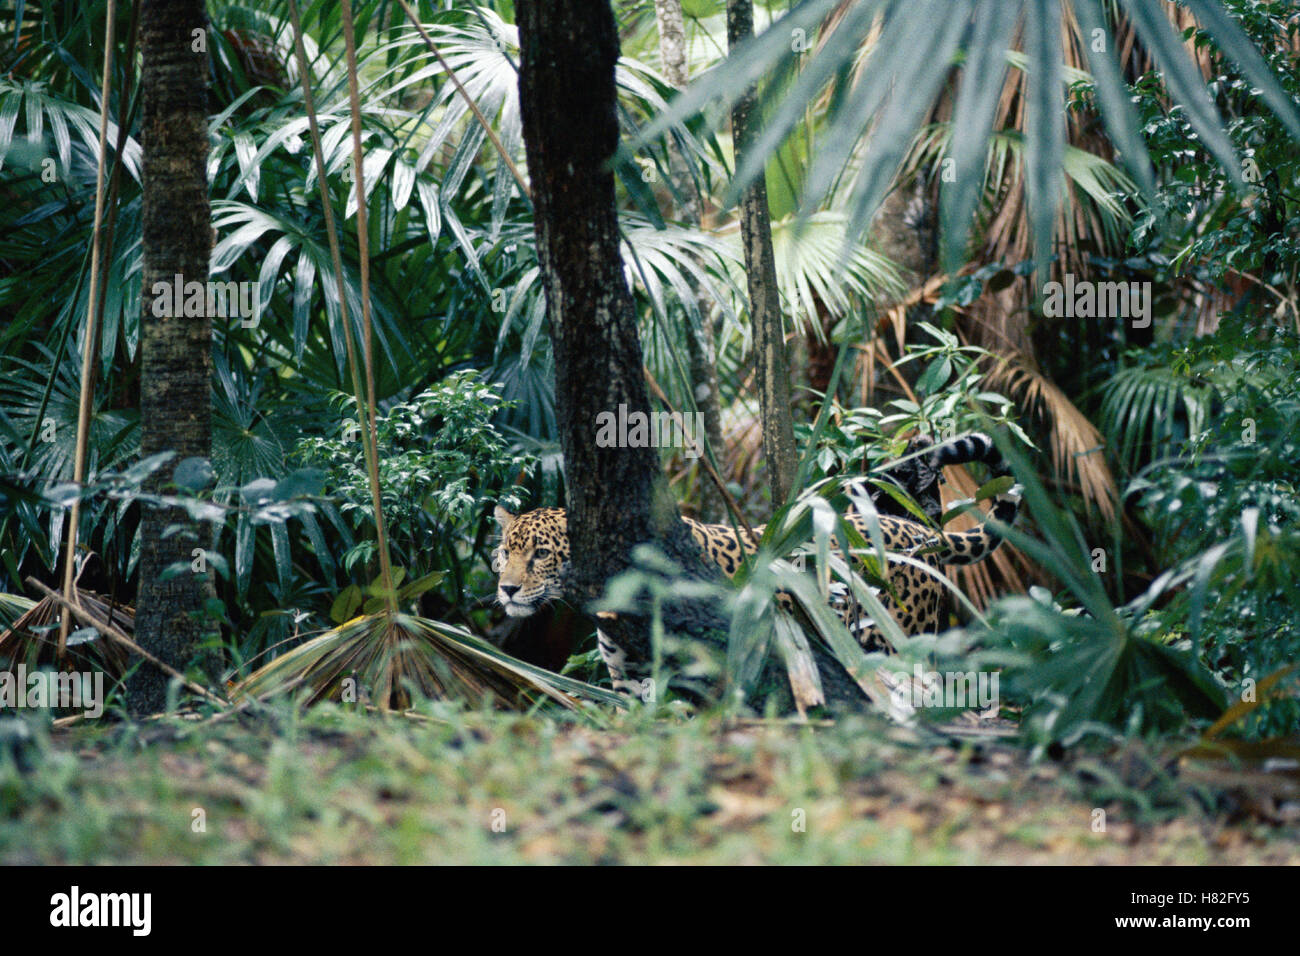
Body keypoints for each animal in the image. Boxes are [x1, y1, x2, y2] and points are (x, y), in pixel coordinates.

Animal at [492, 433, 1020, 695]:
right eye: (504, 554)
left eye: (540, 554)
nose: (506, 590)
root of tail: (915, 529)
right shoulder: (628, 682)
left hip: (900, 640)